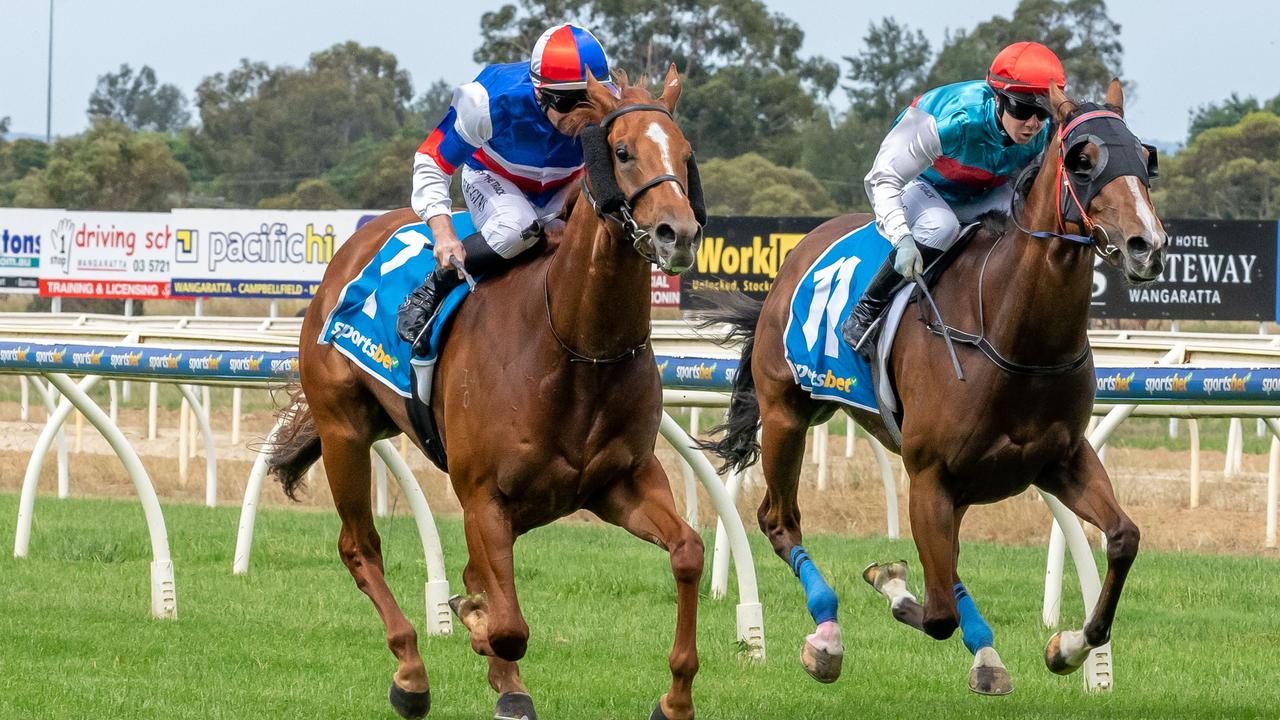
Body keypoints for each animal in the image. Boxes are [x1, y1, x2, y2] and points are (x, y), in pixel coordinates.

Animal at [265, 67, 706, 720]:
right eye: (623, 151)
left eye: (685, 152)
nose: (678, 233)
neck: (574, 346)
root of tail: (356, 244)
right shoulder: (482, 496)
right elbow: (507, 624)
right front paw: (478, 633)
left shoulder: (621, 481)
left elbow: (688, 552)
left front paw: (674, 697)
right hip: (343, 428)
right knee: (359, 546)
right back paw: (411, 673)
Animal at [697, 79, 1166, 694]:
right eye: (1082, 160)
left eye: (1145, 158)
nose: (1147, 245)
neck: (1011, 331)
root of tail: (796, 253)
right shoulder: (928, 473)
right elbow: (937, 612)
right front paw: (892, 586)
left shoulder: (1059, 459)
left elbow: (1123, 538)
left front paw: (1068, 647)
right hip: (787, 414)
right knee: (780, 520)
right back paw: (827, 635)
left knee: (948, 562)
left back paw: (984, 653)